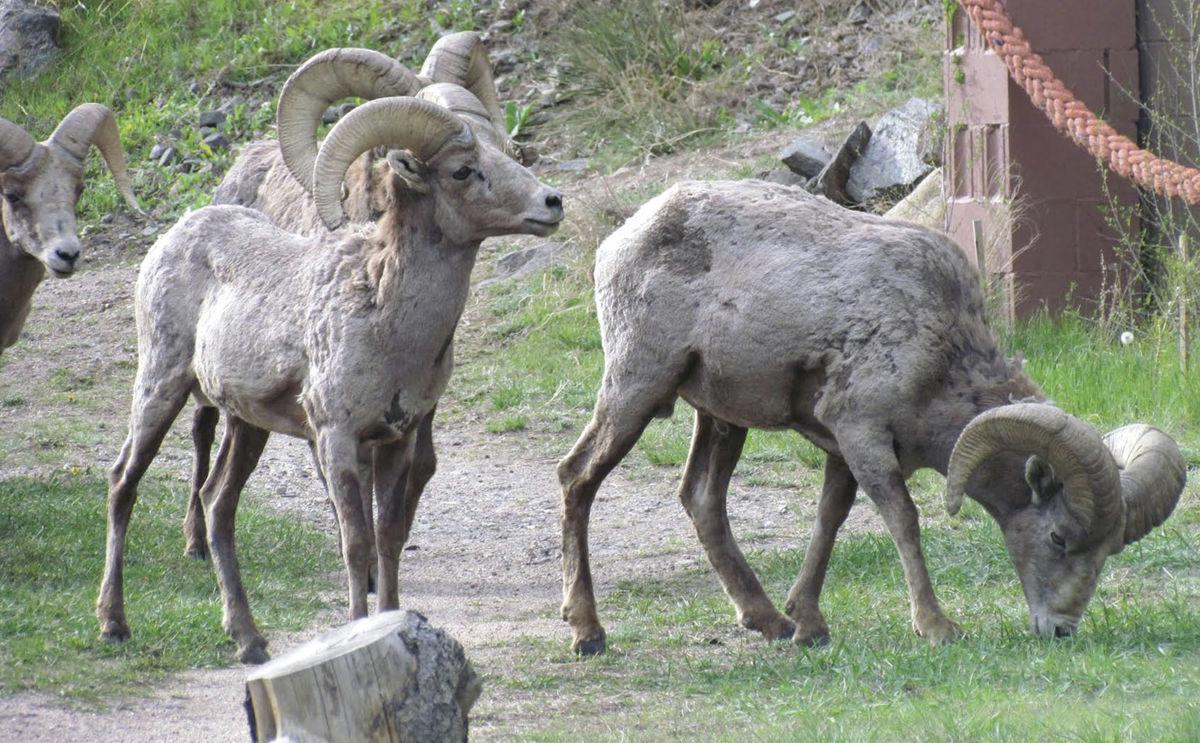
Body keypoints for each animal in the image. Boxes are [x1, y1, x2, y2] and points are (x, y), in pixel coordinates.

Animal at [96, 93, 564, 664]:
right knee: (124, 483)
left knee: (216, 504)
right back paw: (114, 624)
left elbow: (388, 536)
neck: (387, 320)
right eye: (462, 170)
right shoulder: (336, 438)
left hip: (248, 427)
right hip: (161, 386)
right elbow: (355, 542)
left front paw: (392, 620)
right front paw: (358, 628)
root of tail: (175, 235)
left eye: (506, 153)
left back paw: (249, 641)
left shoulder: (397, 439)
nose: (552, 203)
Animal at [557, 179, 1186, 654]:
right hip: (636, 388)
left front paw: (808, 626)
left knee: (702, 499)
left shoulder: (843, 447)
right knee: (578, 477)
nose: (1060, 630)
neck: (939, 349)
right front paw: (936, 627)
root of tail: (623, 236)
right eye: (1058, 537)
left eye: (1108, 551)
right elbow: (903, 520)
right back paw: (587, 632)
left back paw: (768, 621)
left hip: (721, 417)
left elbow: (829, 520)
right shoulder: (862, 434)